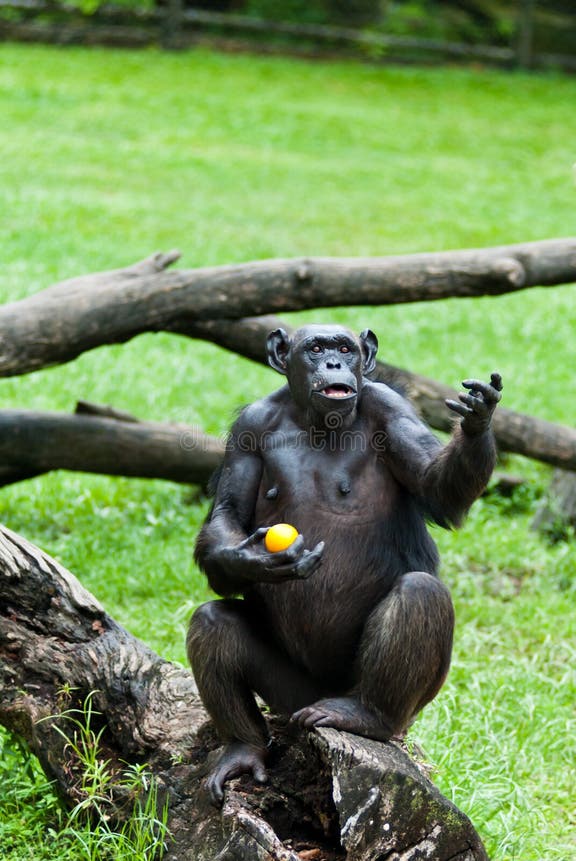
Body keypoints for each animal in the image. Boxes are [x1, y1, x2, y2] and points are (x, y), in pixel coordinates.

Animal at [187, 324, 502, 804]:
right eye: (315, 349)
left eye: (344, 348)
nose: (334, 363)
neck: (318, 422)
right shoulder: (248, 427)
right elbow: (228, 514)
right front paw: (254, 560)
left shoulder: (391, 408)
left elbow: (435, 485)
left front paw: (477, 416)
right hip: (292, 695)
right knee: (212, 622)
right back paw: (244, 749)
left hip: (401, 709)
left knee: (420, 593)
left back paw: (365, 715)